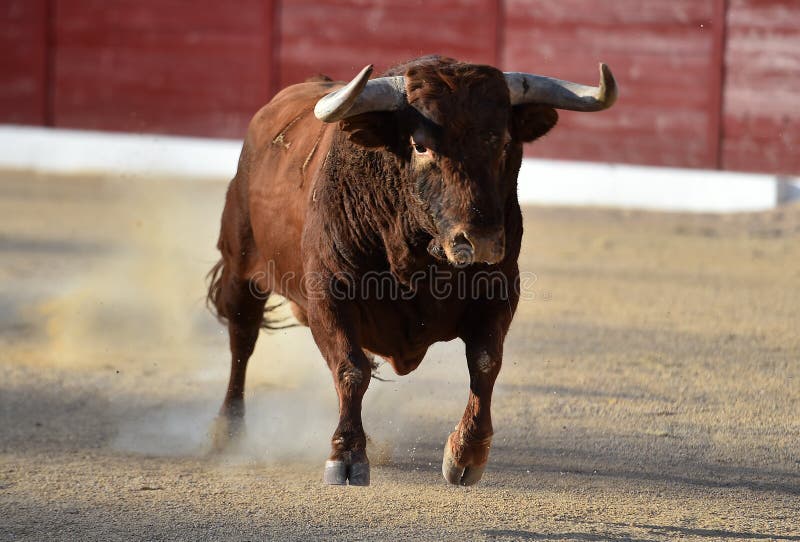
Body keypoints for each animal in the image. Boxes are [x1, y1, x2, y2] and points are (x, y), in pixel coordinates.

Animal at [207, 55, 616, 486]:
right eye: (420, 145)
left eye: (505, 142)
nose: (481, 241)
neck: (422, 257)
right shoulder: (329, 292)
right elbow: (350, 369)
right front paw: (346, 455)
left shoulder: (500, 291)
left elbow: (485, 362)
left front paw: (466, 453)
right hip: (240, 265)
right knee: (242, 339)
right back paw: (229, 433)